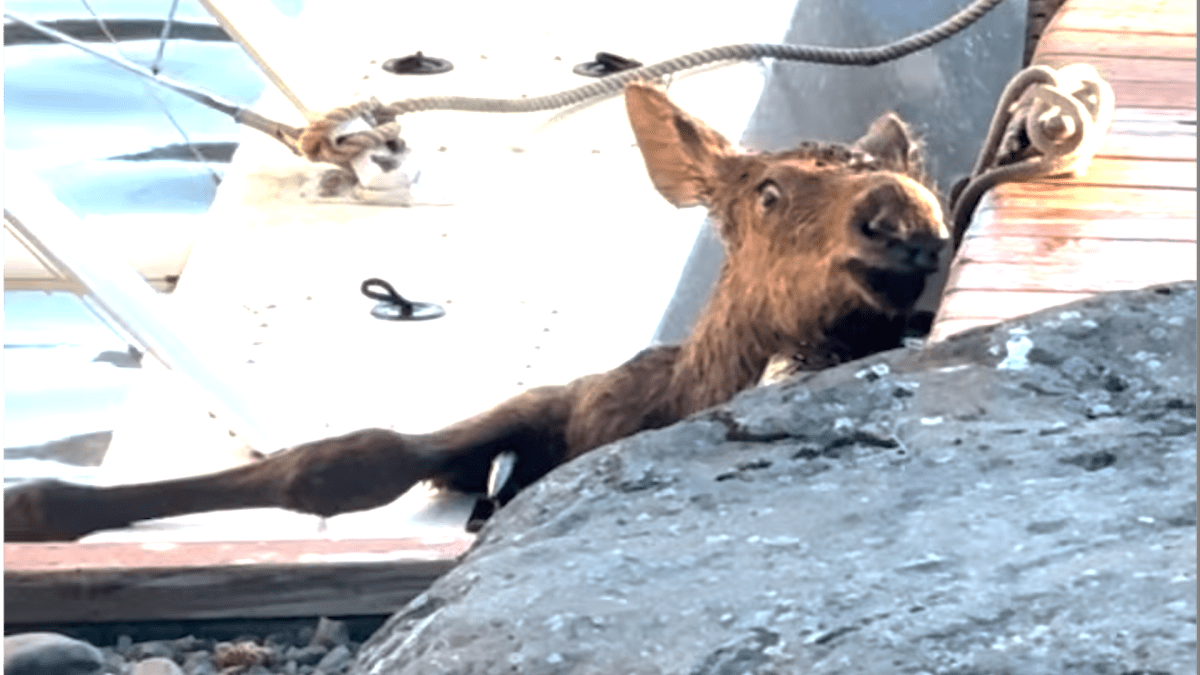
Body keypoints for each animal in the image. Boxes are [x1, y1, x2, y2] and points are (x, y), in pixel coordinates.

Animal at [2, 82, 949, 542]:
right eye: (767, 191)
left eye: (914, 176)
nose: (900, 216)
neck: (692, 393)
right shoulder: (552, 402)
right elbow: (348, 455)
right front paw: (39, 503)